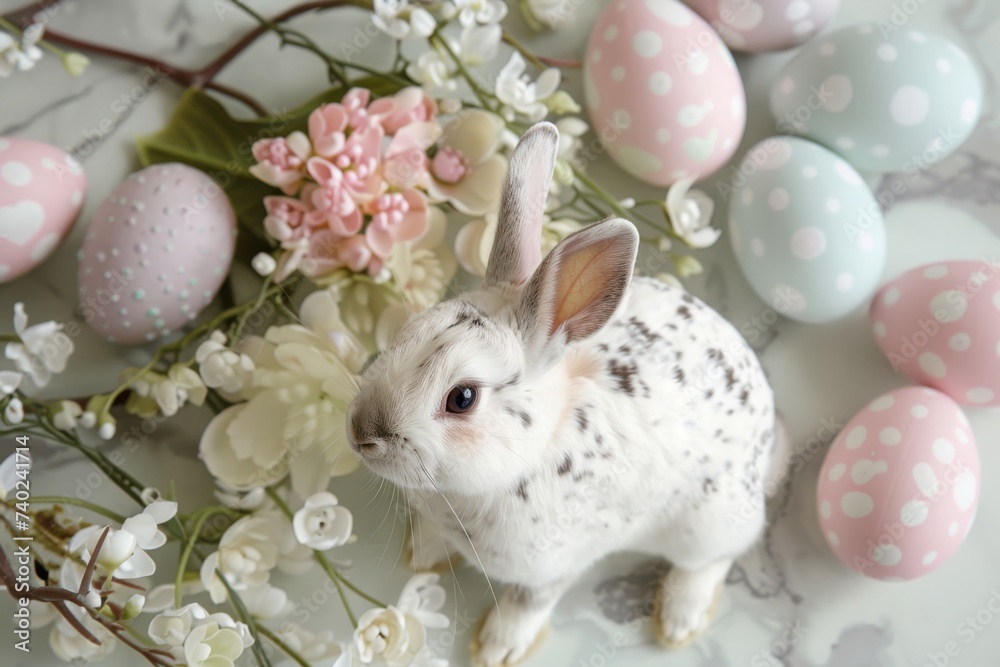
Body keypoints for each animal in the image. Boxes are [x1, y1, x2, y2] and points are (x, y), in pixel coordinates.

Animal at [346, 122, 787, 666]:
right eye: (404, 330)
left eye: (462, 398)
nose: (361, 434)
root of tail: (766, 442)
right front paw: (422, 556)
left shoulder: (553, 567)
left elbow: (527, 605)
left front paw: (496, 648)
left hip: (708, 521)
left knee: (714, 559)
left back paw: (679, 620)